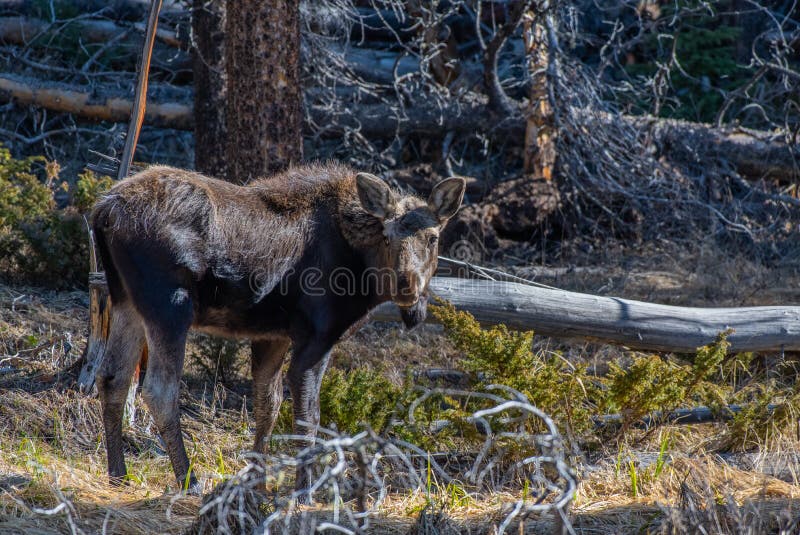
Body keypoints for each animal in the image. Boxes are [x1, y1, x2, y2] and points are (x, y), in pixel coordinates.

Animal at [90, 162, 465, 496]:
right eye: (387, 237)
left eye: (433, 238)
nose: (406, 285)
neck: (363, 276)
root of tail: (103, 210)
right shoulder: (317, 336)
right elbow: (307, 417)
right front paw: (304, 492)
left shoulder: (273, 336)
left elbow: (267, 406)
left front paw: (257, 484)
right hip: (169, 304)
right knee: (158, 389)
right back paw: (189, 481)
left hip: (125, 299)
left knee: (112, 377)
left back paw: (118, 475)